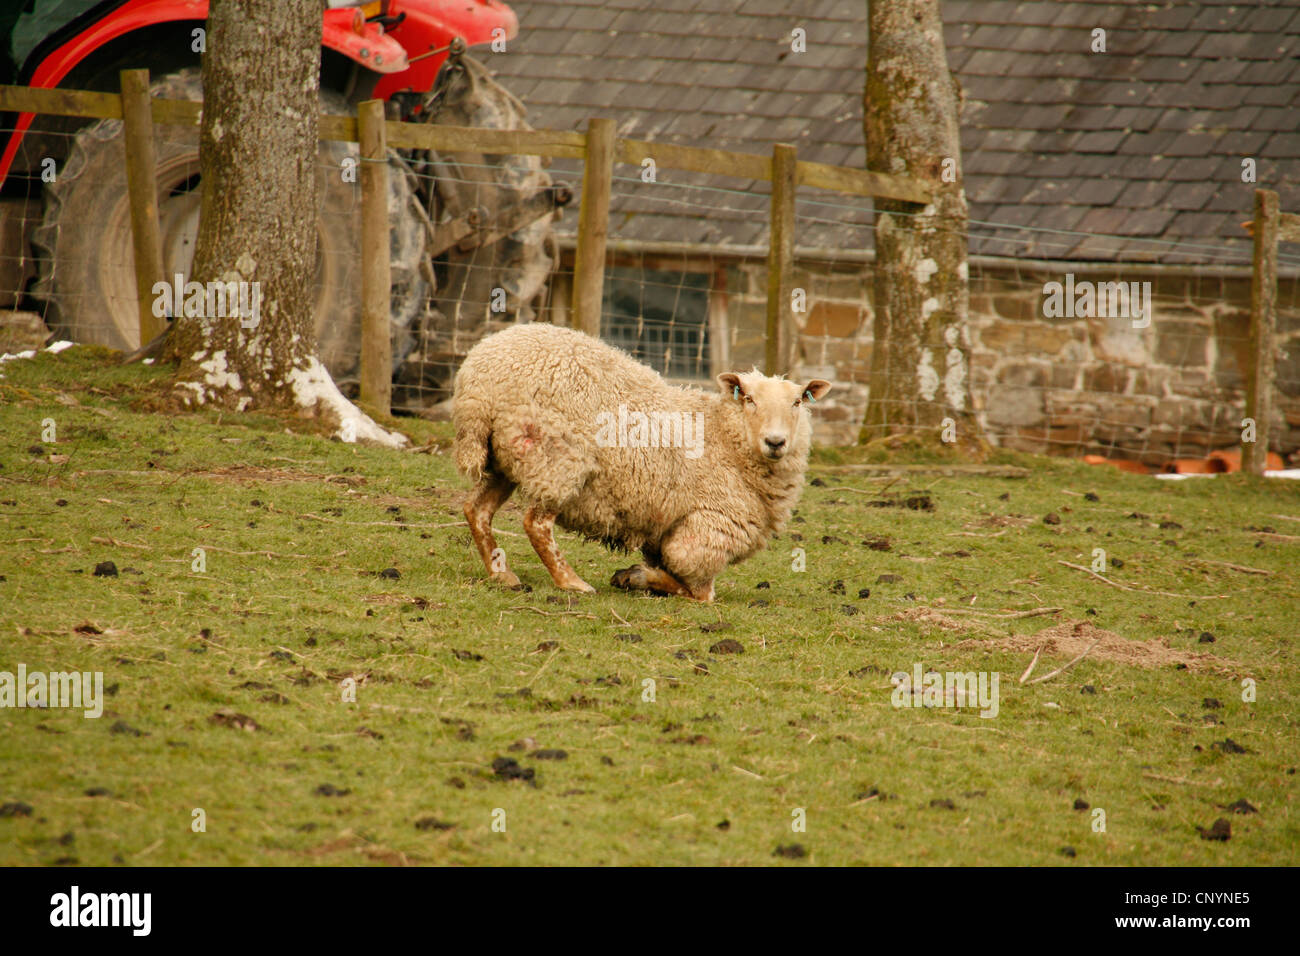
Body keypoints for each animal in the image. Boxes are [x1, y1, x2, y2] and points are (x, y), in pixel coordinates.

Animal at [452, 322, 831, 601]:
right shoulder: (707, 529)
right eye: (749, 399)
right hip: (556, 456)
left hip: (506, 456)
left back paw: (503, 575)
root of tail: (477, 380)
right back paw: (571, 582)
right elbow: (700, 592)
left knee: (477, 510)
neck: (724, 436)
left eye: (798, 401)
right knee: (536, 523)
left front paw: (634, 576)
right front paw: (641, 578)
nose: (776, 442)